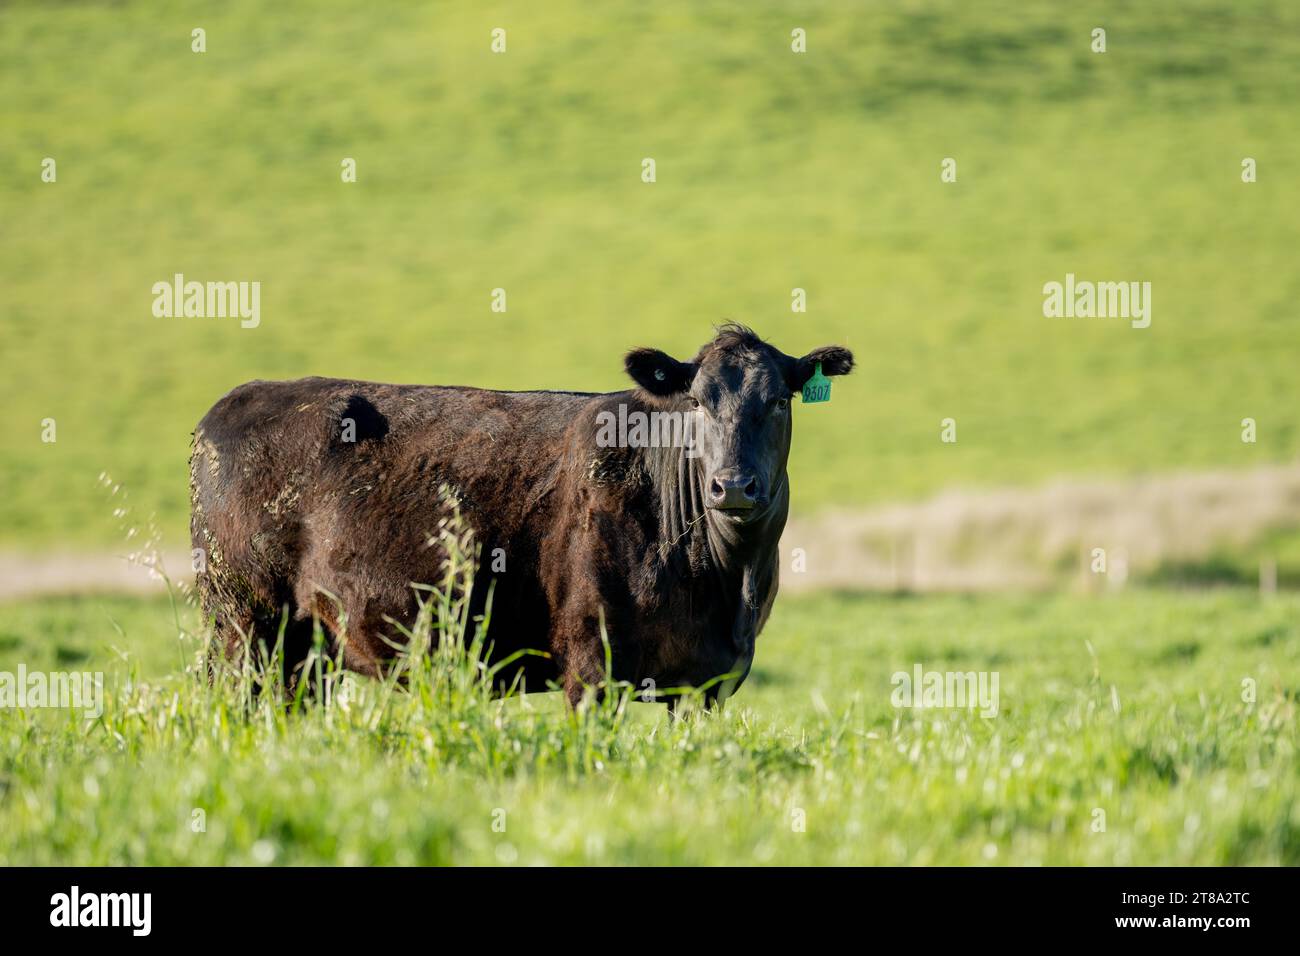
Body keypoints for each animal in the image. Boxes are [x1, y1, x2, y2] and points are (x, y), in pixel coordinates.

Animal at [189, 325, 853, 708]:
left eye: (778, 400)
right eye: (696, 401)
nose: (732, 485)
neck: (726, 580)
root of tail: (236, 399)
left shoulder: (710, 683)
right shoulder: (591, 663)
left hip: (306, 652)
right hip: (243, 625)